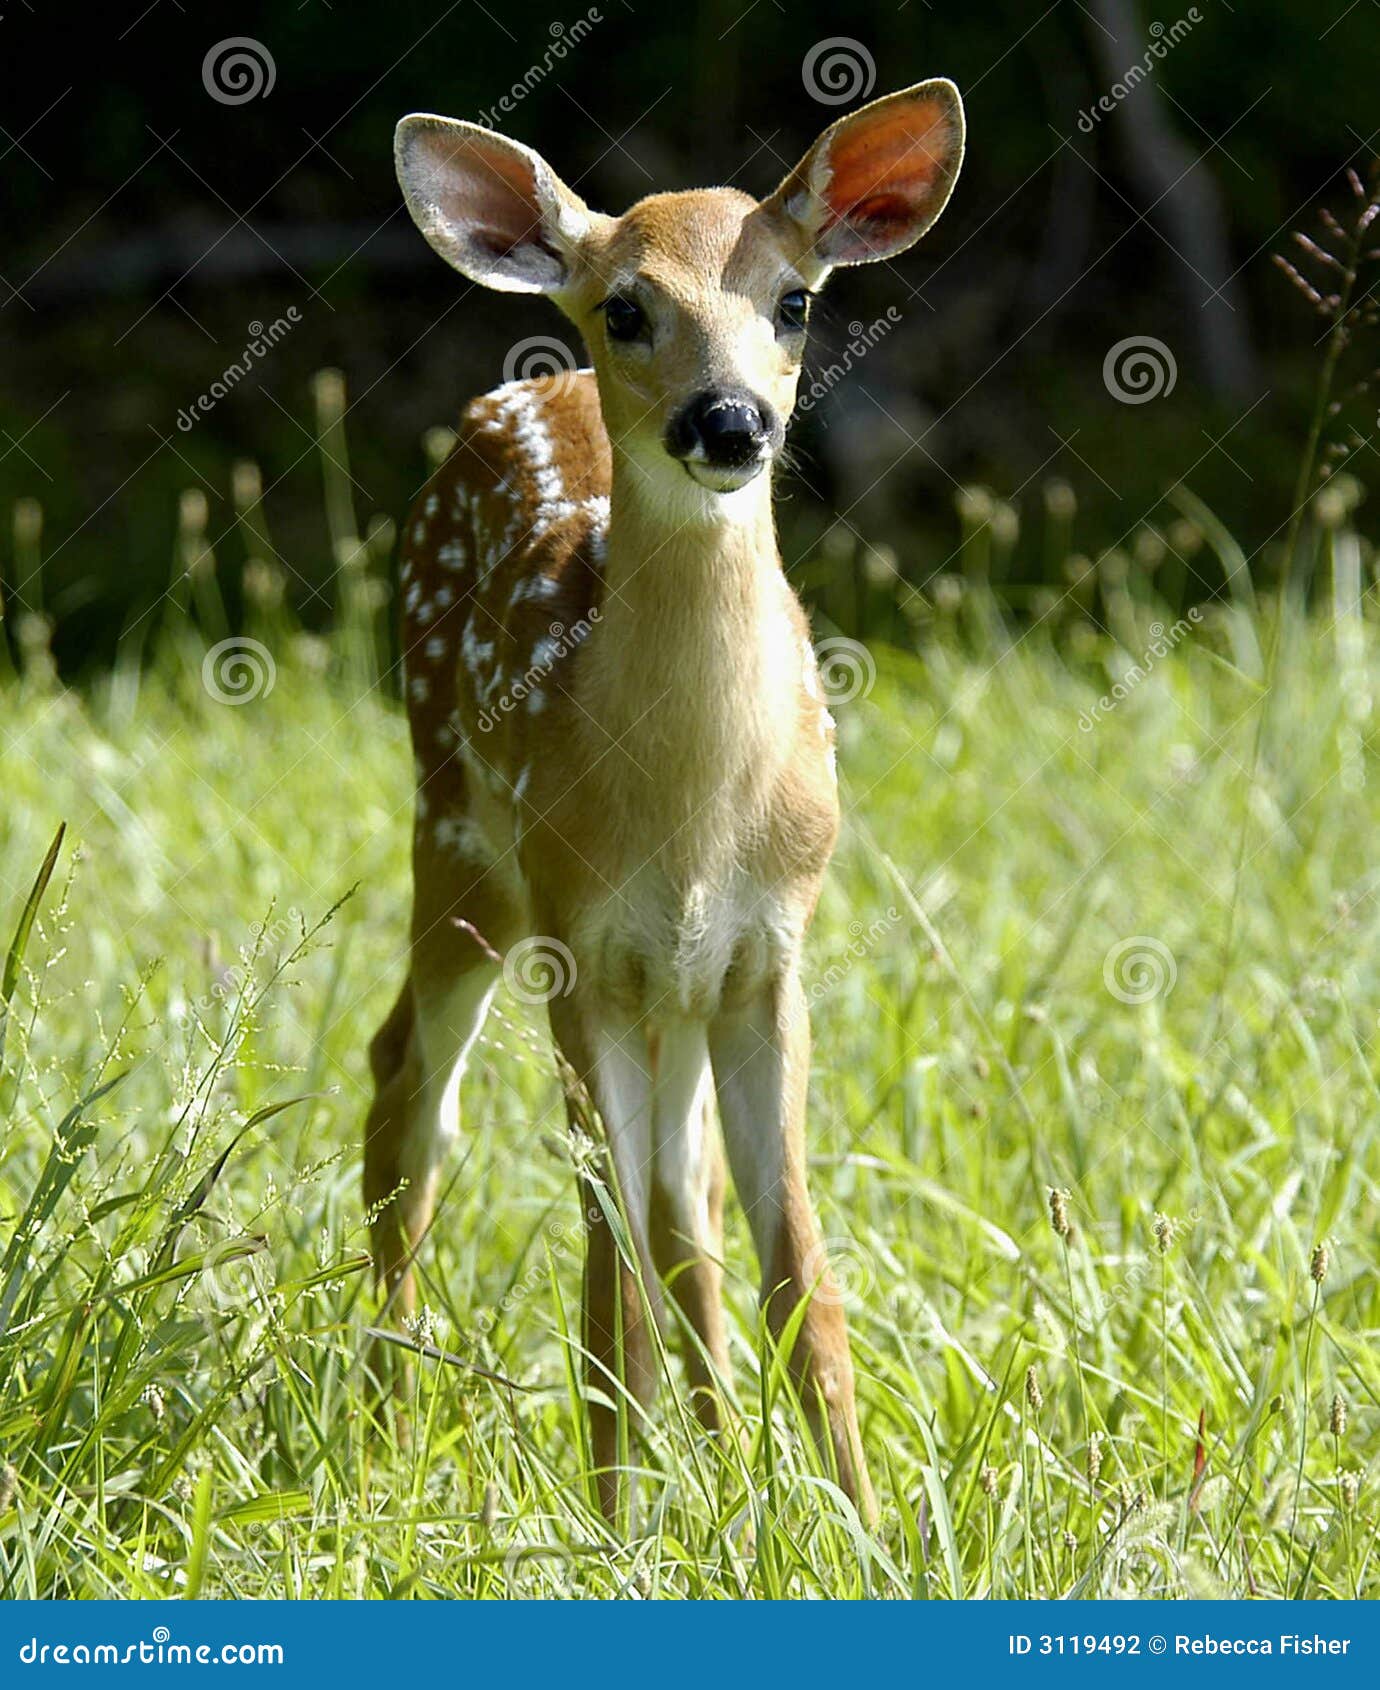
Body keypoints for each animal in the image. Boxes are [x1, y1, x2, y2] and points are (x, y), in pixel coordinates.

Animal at [365, 79, 965, 1526]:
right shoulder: (580, 945)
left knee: (688, 1199)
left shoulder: (767, 951)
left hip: (668, 982)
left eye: (795, 298)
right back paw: (381, 1438)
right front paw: (619, 1524)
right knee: (408, 1086)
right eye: (627, 305)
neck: (693, 811)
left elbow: (794, 1261)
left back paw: (718, 1454)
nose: (730, 420)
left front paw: (858, 1526)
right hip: (460, 843)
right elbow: (612, 1263)